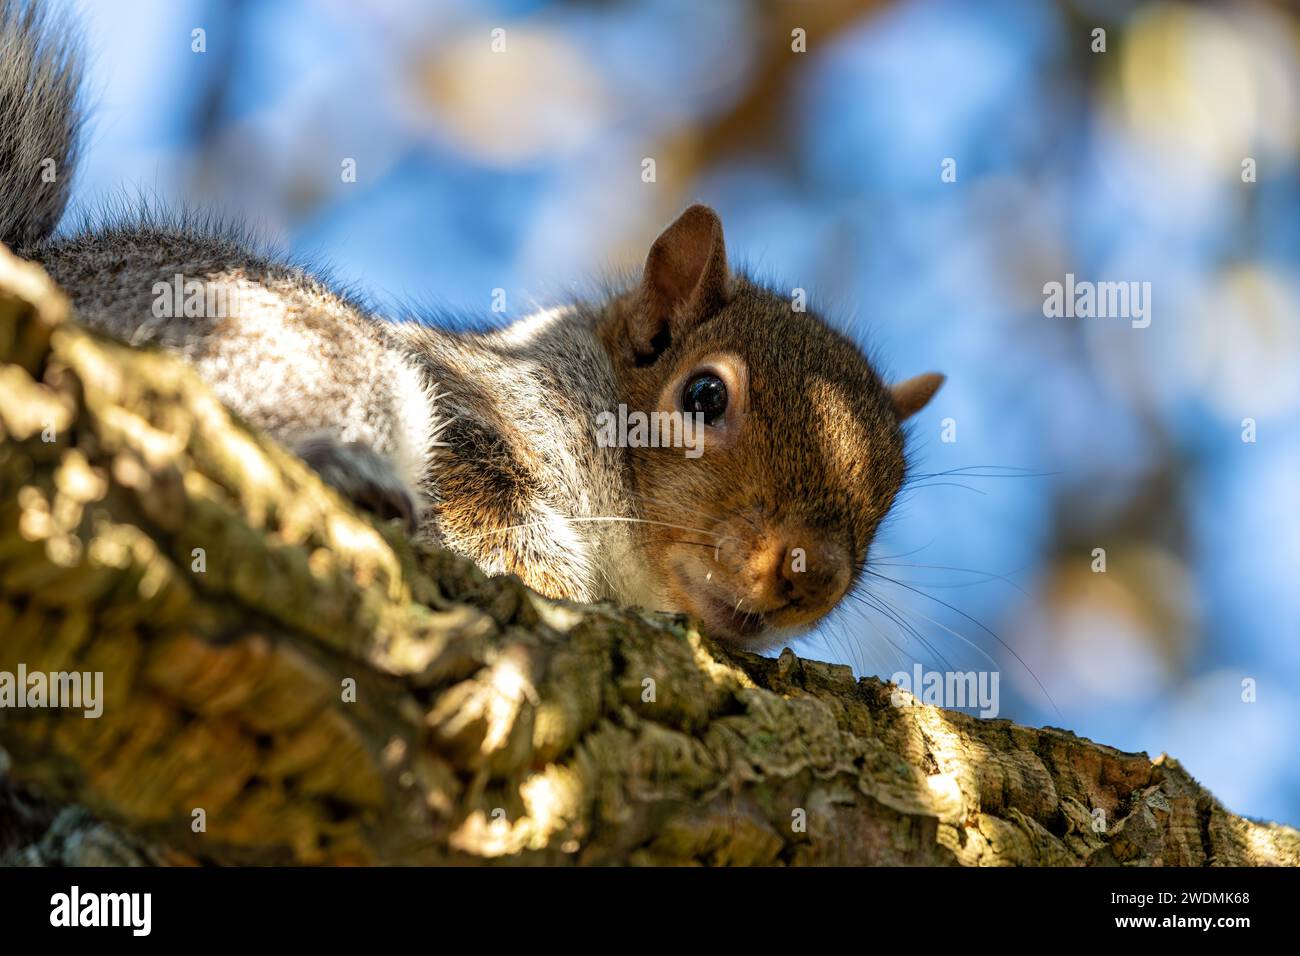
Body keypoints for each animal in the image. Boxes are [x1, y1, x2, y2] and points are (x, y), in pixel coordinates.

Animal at [0, 0, 943, 649]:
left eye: (897, 485)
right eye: (704, 395)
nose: (811, 575)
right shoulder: (473, 414)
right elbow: (489, 509)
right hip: (303, 348)